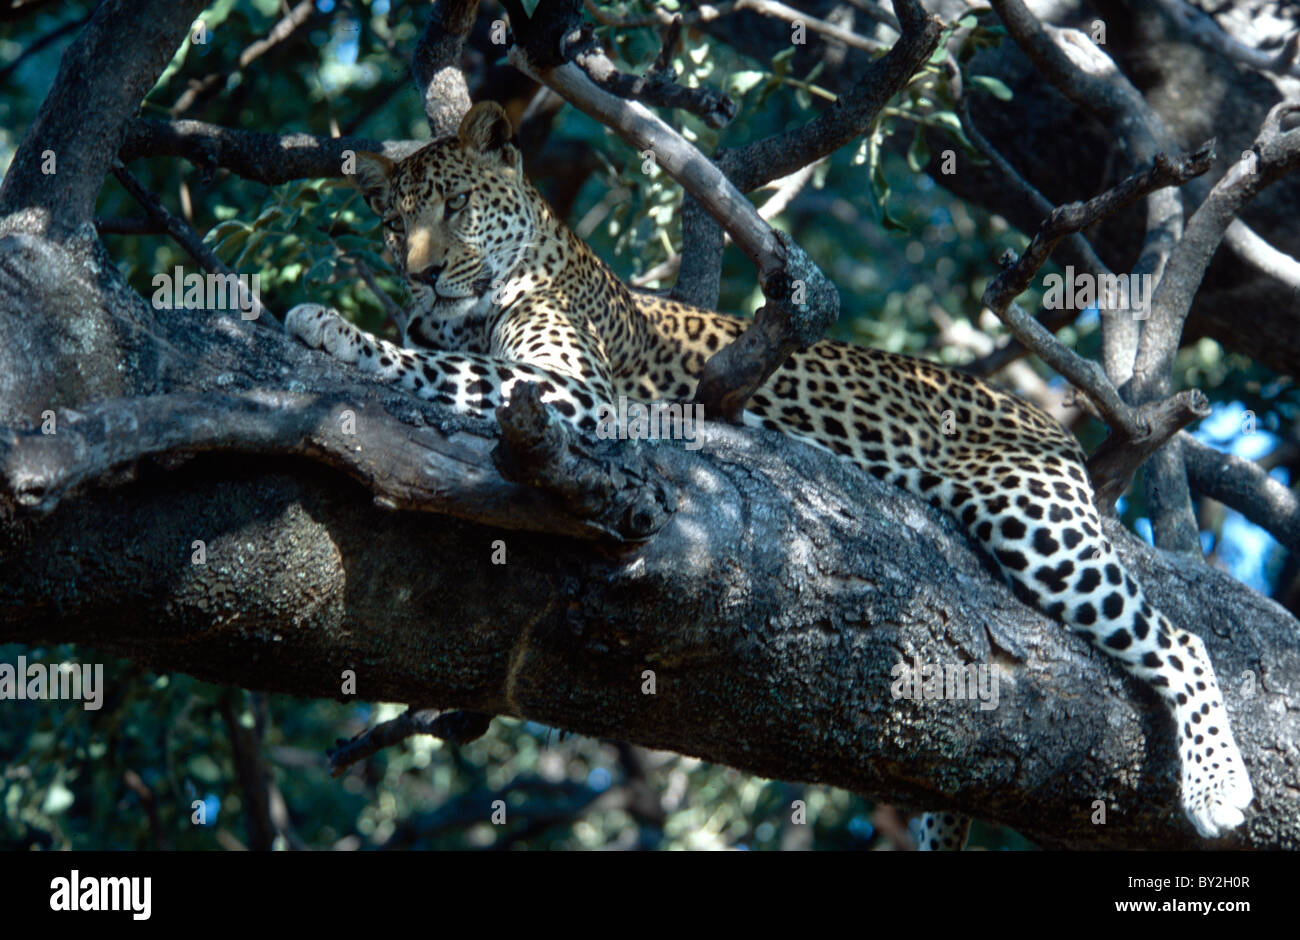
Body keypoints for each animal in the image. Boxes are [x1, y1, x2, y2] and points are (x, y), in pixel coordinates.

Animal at [285, 100, 1254, 847]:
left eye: (453, 206)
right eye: (392, 223)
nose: (420, 274)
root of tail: (1036, 417)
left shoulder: (572, 391)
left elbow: (448, 368)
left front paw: (329, 325)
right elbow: (442, 357)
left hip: (1029, 511)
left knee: (1179, 638)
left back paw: (1219, 785)